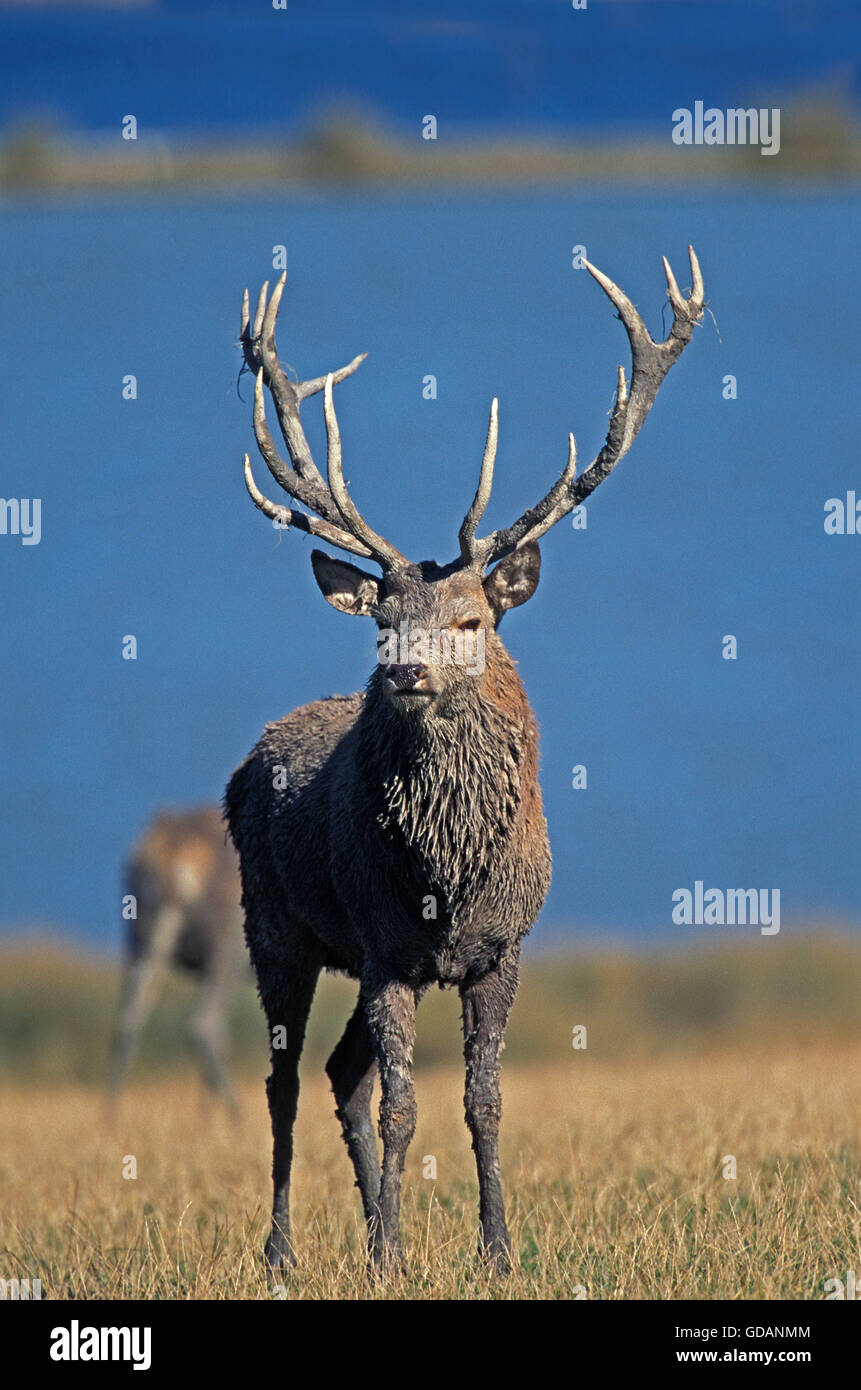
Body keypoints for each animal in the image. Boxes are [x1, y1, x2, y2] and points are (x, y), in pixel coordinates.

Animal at [110, 806, 248, 1113]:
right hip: (225, 954)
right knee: (202, 1026)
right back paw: (239, 1115)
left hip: (140, 943)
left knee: (127, 1022)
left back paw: (111, 1120)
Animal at [224, 248, 704, 1276]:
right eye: (379, 619)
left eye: (473, 618)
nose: (405, 672)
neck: (446, 876)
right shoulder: (387, 950)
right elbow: (405, 1108)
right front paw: (392, 1263)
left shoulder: (500, 950)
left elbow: (483, 1103)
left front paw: (496, 1250)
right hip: (273, 928)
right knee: (285, 1080)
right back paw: (284, 1250)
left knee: (338, 1073)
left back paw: (367, 1225)